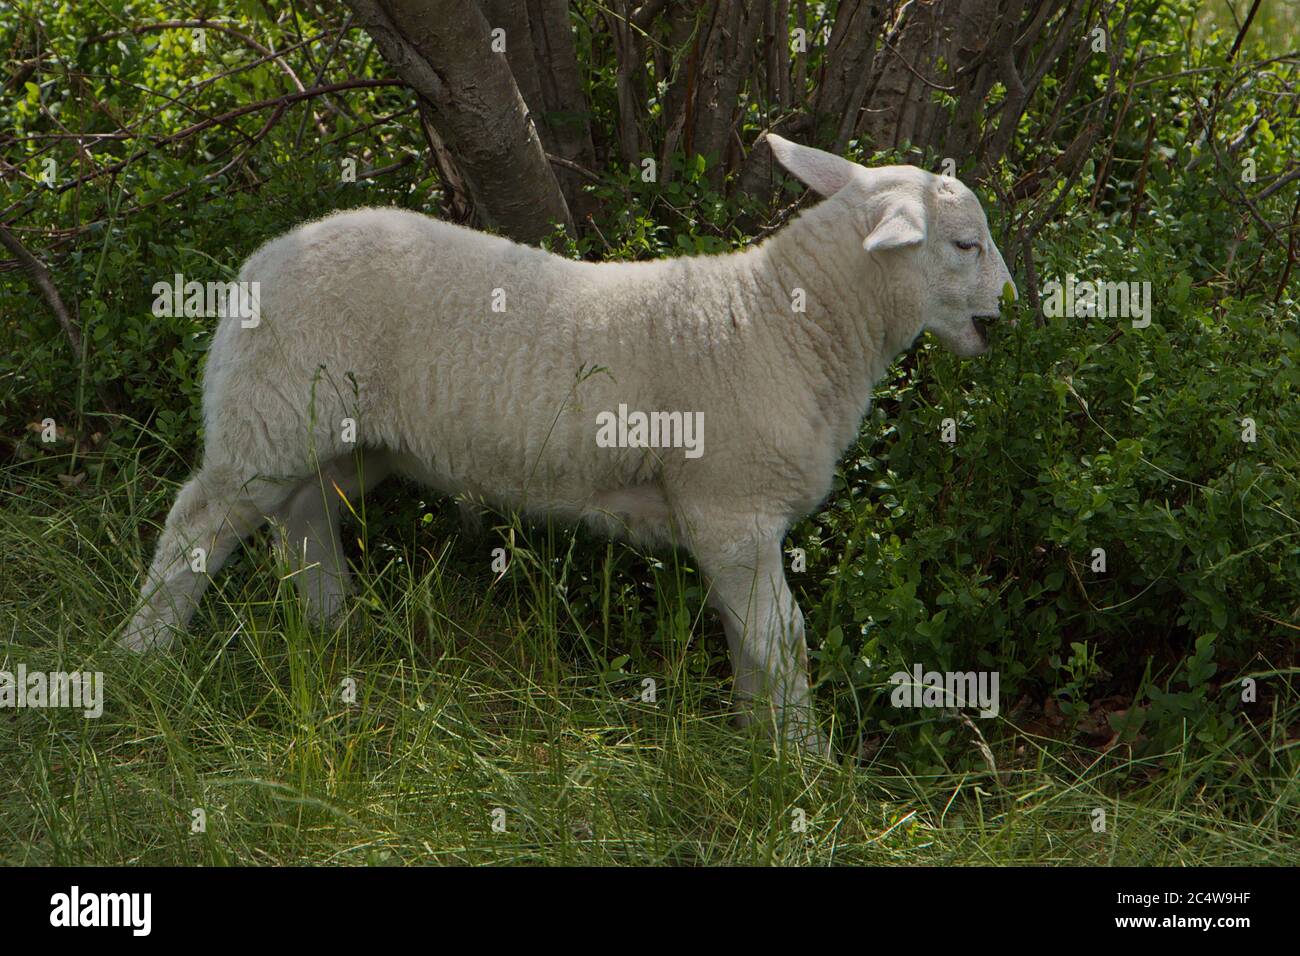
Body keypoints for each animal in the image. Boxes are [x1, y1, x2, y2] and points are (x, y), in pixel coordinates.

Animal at [122, 135, 1016, 755]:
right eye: (964, 245)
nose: (1008, 307)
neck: (786, 320)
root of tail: (260, 262)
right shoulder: (733, 505)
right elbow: (780, 640)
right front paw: (805, 761)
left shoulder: (730, 522)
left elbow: (748, 639)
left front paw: (757, 740)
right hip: (268, 413)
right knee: (196, 523)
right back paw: (142, 655)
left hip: (339, 436)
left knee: (303, 516)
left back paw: (328, 624)